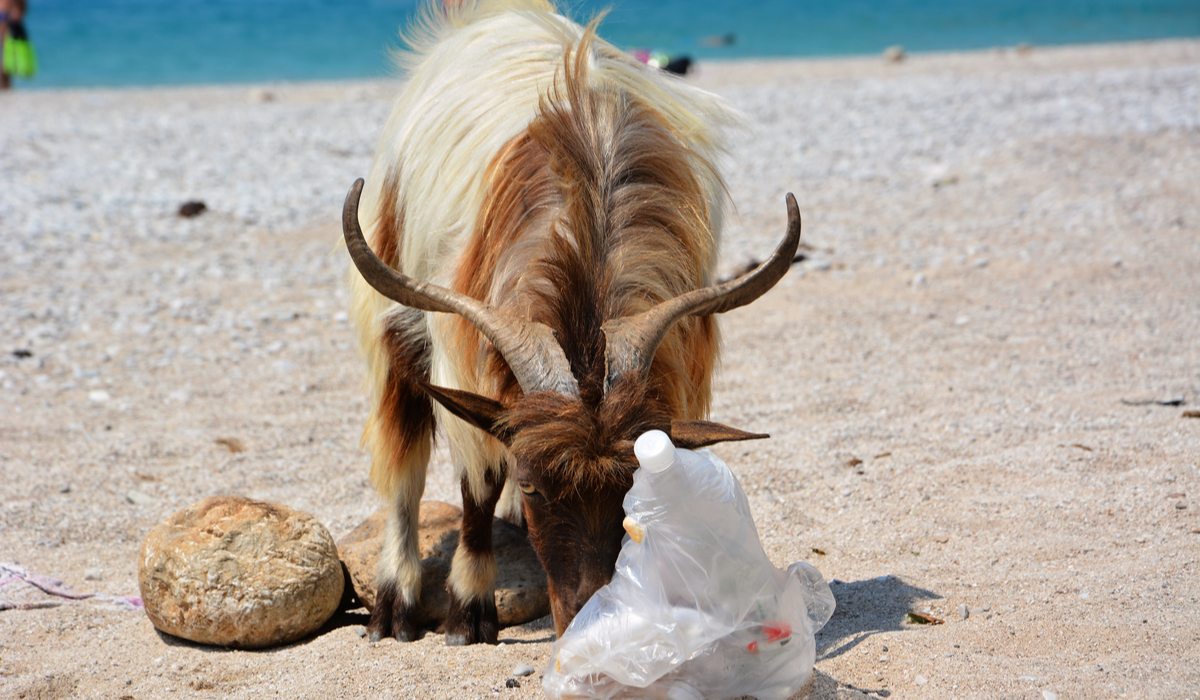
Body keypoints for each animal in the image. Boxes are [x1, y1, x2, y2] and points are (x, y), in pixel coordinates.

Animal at [343, 0, 801, 645]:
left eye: (632, 489)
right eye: (536, 485)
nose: (583, 614)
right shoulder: (460, 338)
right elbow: (478, 479)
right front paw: (469, 610)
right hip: (392, 297)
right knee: (403, 452)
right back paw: (395, 603)